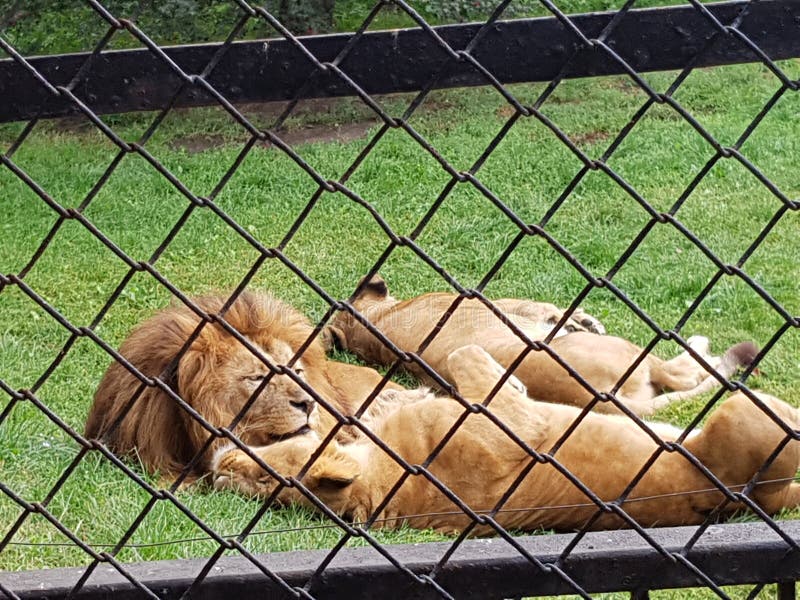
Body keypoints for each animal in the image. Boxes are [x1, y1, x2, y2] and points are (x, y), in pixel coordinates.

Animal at [325, 276, 758, 416]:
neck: (376, 324)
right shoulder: (500, 303)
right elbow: (544, 307)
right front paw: (583, 317)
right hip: (631, 352)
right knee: (680, 373)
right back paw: (701, 345)